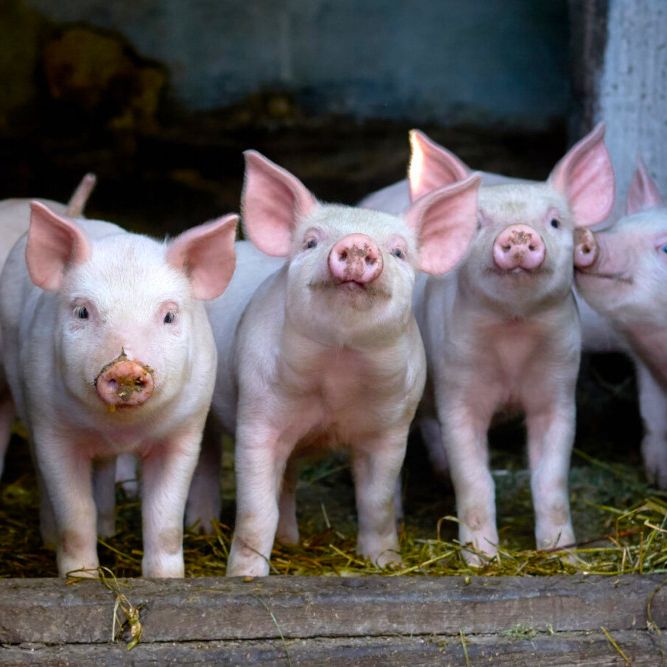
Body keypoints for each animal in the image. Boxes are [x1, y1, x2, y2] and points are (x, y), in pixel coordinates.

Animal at [188, 150, 481, 577]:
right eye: (310, 242)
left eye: (398, 252)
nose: (357, 243)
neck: (339, 368)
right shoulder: (258, 415)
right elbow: (256, 509)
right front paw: (244, 576)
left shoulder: (391, 428)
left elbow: (376, 502)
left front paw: (385, 563)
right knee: (208, 460)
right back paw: (202, 529)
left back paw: (290, 541)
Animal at [365, 125, 615, 560]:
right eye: (477, 223)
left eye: (554, 221)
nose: (518, 234)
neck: (512, 332)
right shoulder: (458, 389)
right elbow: (476, 480)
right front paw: (482, 559)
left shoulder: (558, 390)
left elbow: (550, 480)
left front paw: (564, 555)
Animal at [576, 158, 667, 487]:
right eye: (619, 226)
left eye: (666, 249)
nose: (587, 237)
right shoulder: (646, 366)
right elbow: (653, 420)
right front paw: (657, 478)